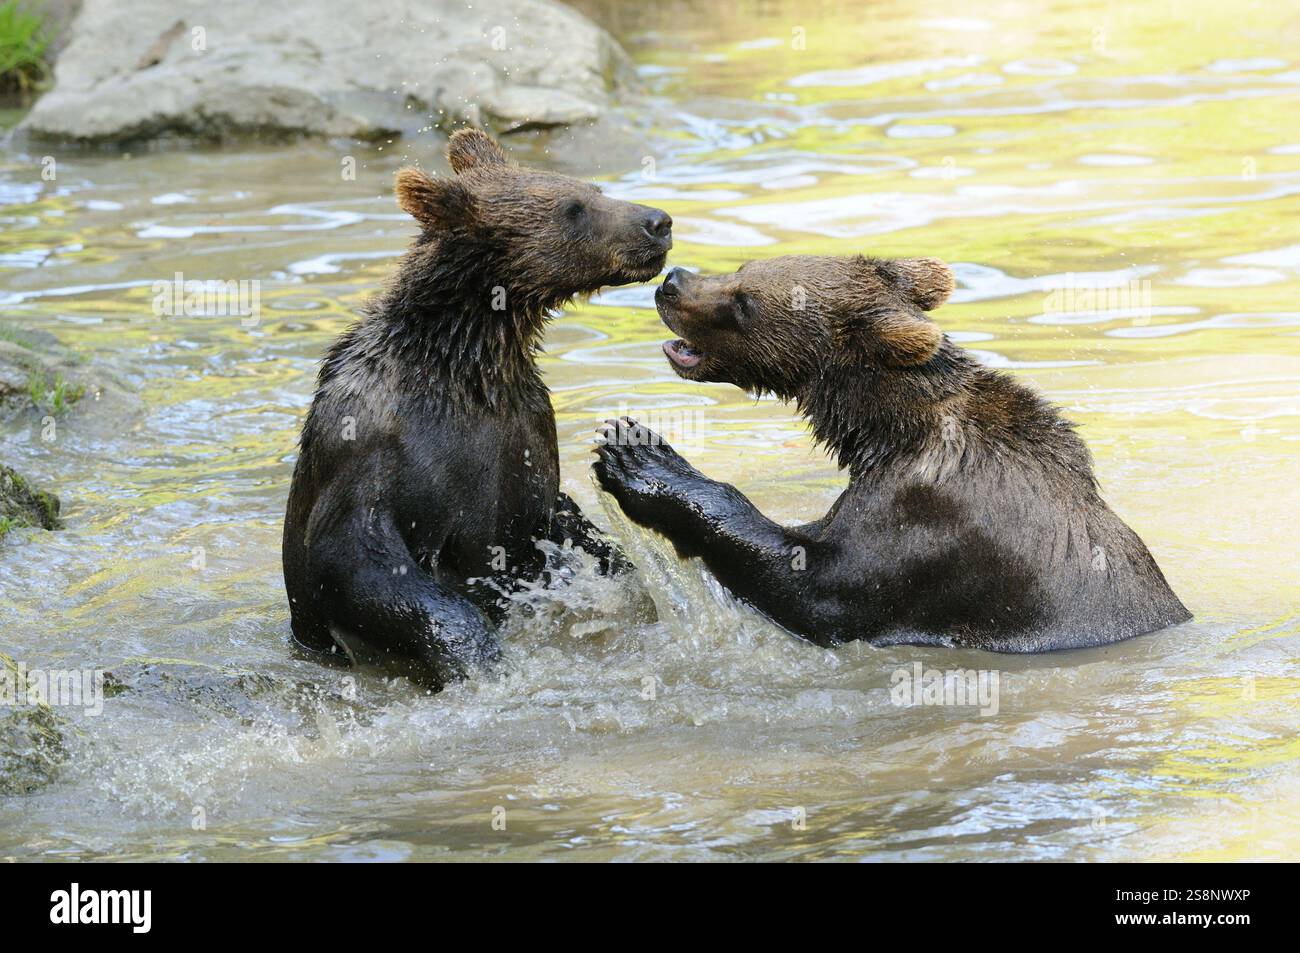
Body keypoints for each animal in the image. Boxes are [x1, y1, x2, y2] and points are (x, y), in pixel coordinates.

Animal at [283, 129, 672, 689]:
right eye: (573, 209)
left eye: (594, 189)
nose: (658, 222)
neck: (471, 364)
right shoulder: (375, 448)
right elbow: (355, 557)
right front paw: (472, 653)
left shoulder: (527, 434)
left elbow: (570, 530)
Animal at [593, 255, 1190, 652]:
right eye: (744, 266)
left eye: (744, 302)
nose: (672, 283)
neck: (887, 432)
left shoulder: (934, 522)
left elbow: (815, 586)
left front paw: (637, 456)